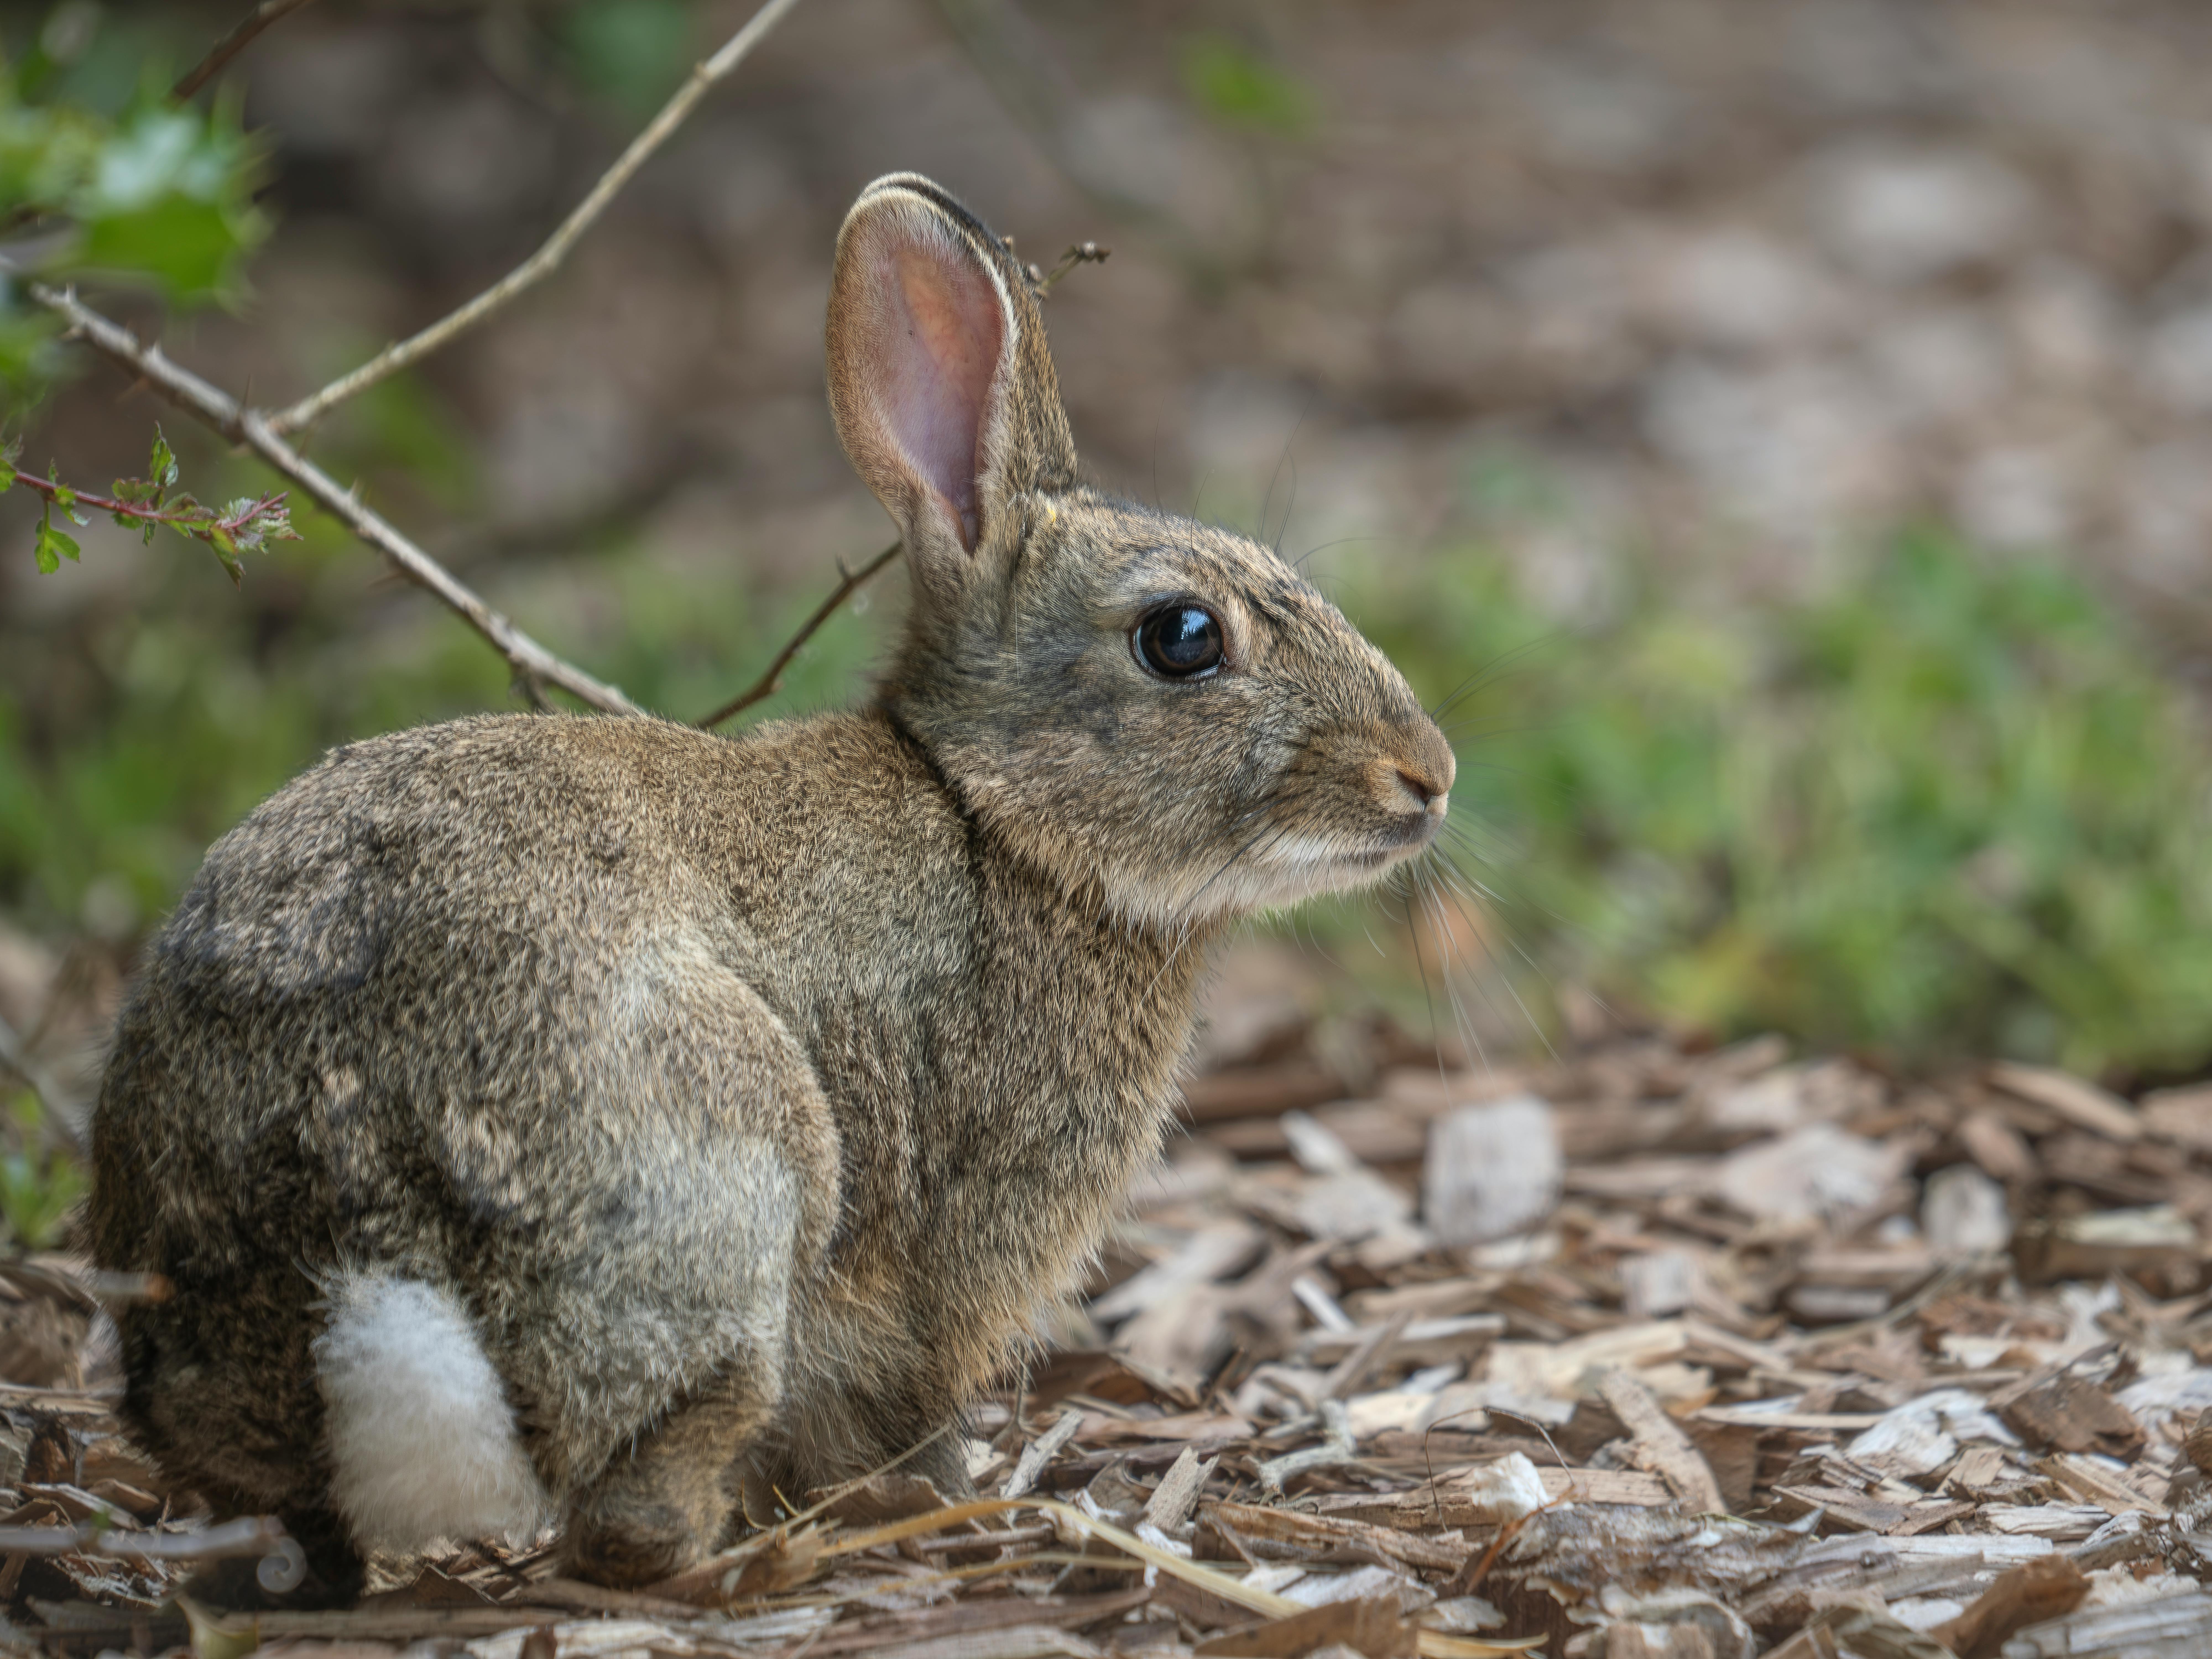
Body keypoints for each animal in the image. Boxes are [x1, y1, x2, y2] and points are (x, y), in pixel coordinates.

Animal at [85, 174, 1455, 1603]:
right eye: (1182, 638)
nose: (1427, 774)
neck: (991, 818)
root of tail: (338, 1214)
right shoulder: (953, 1248)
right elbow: (908, 1393)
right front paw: (939, 1492)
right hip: (731, 1173)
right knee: (638, 1501)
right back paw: (766, 1557)